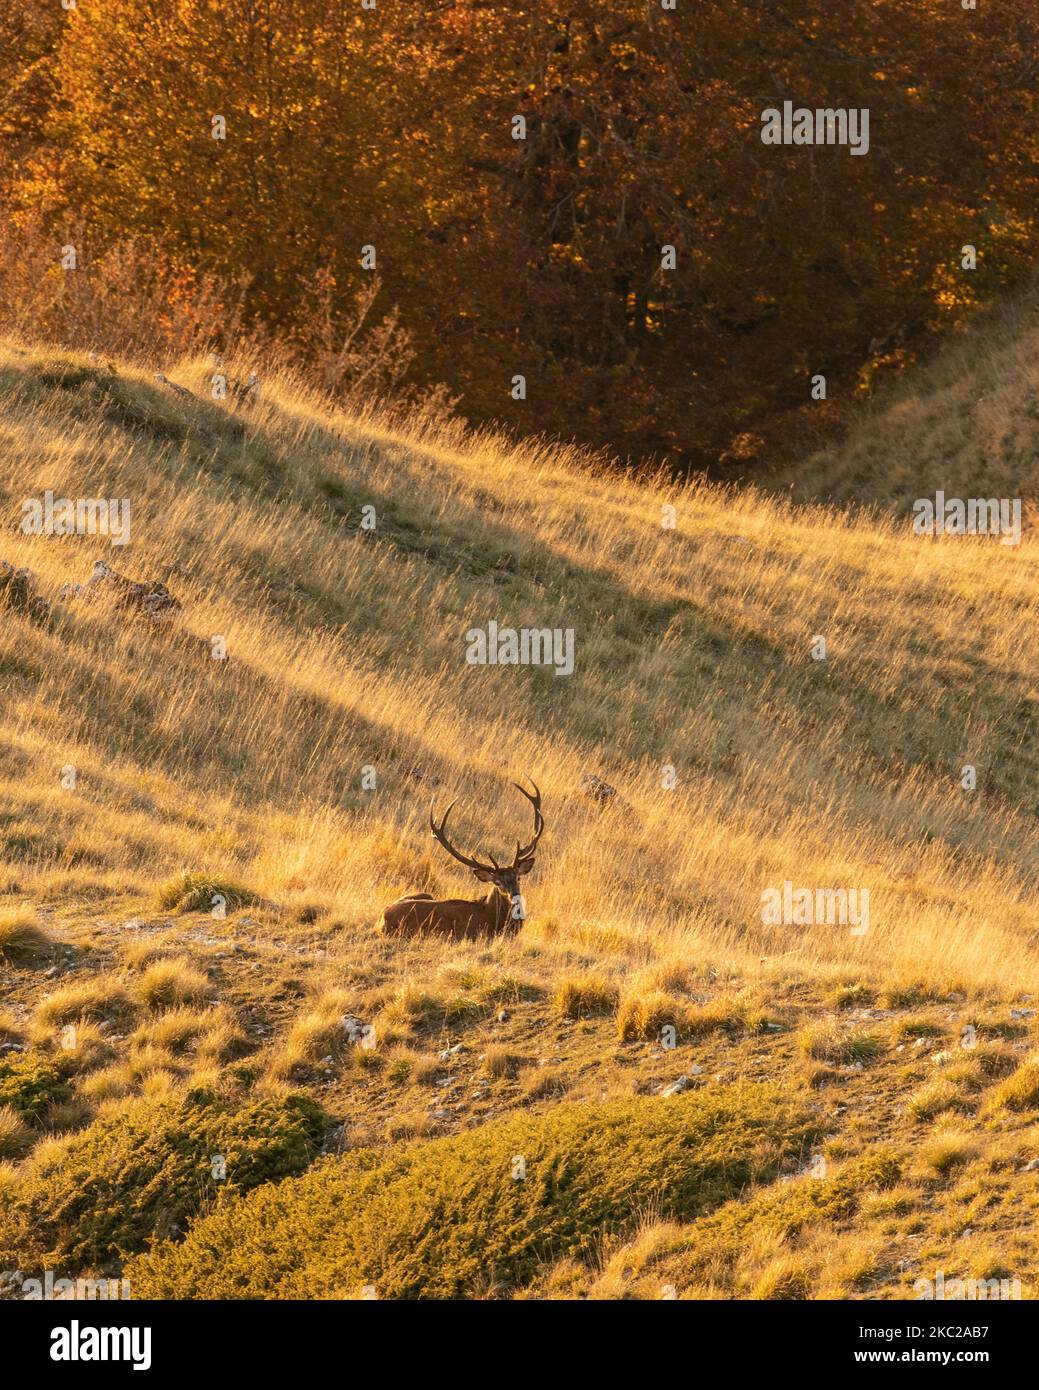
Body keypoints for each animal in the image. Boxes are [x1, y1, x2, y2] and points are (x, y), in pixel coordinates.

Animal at [383, 779, 544, 940]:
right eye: (497, 882)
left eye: (518, 878)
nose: (515, 896)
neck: (491, 918)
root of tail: (384, 916)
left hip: (424, 894)